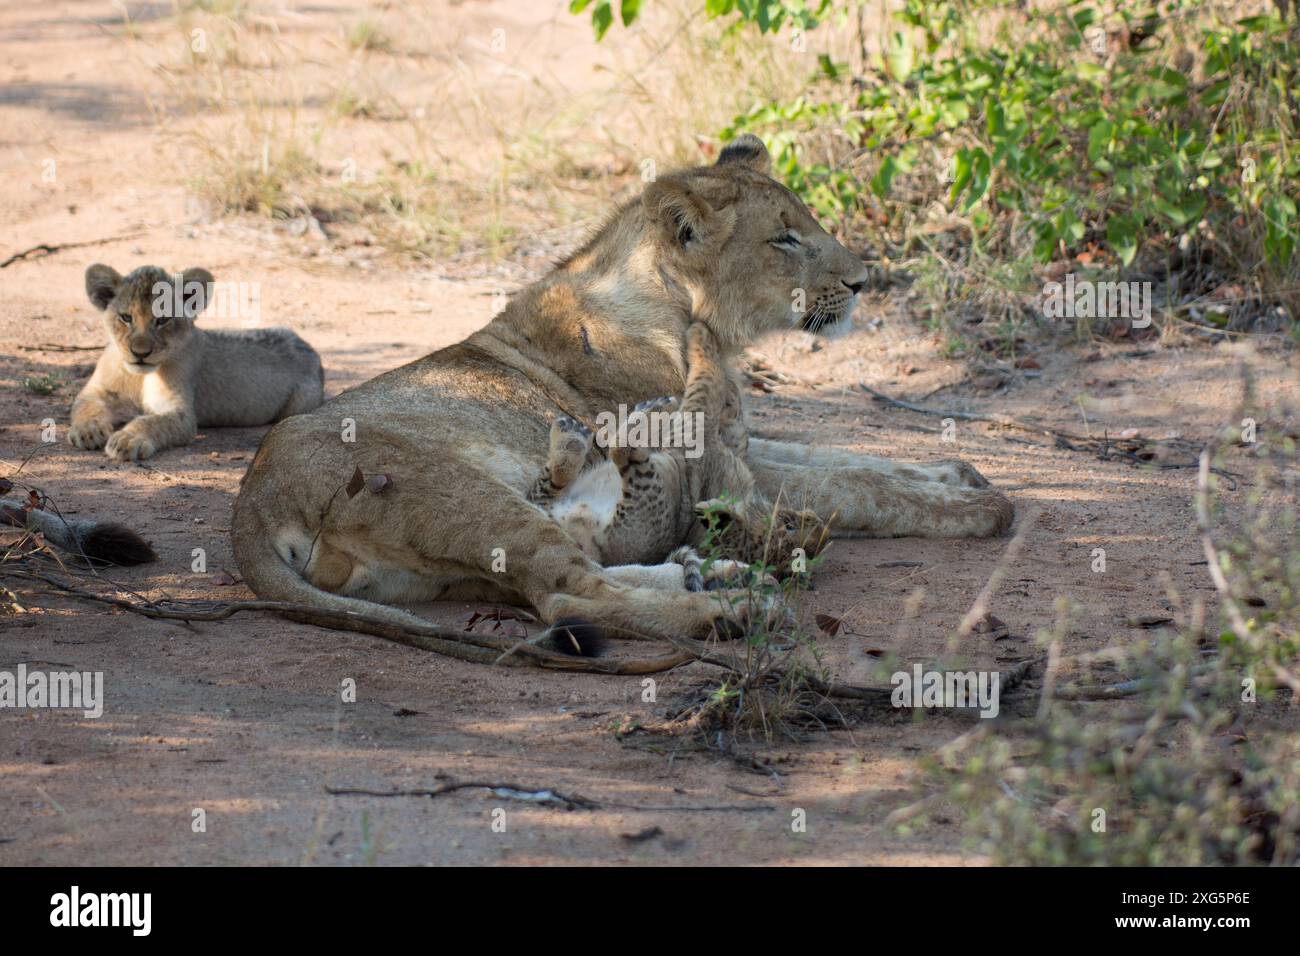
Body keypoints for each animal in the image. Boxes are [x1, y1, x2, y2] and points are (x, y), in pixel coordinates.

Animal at [69, 264, 324, 461]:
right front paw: (89, 431)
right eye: (126, 317)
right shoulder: (97, 390)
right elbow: (84, 405)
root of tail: (308, 346)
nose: (140, 353)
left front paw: (127, 439)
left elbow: (154, 421)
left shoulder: (181, 412)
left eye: (162, 320)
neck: (139, 376)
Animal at [231, 134, 1014, 649]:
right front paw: (979, 508)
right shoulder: (707, 457)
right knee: (568, 595)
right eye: (785, 239)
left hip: (448, 572)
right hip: (471, 497)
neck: (682, 312)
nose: (862, 282)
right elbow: (853, 486)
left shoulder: (732, 441)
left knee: (586, 565)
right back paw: (731, 612)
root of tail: (250, 508)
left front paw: (956, 473)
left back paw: (712, 578)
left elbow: (839, 457)